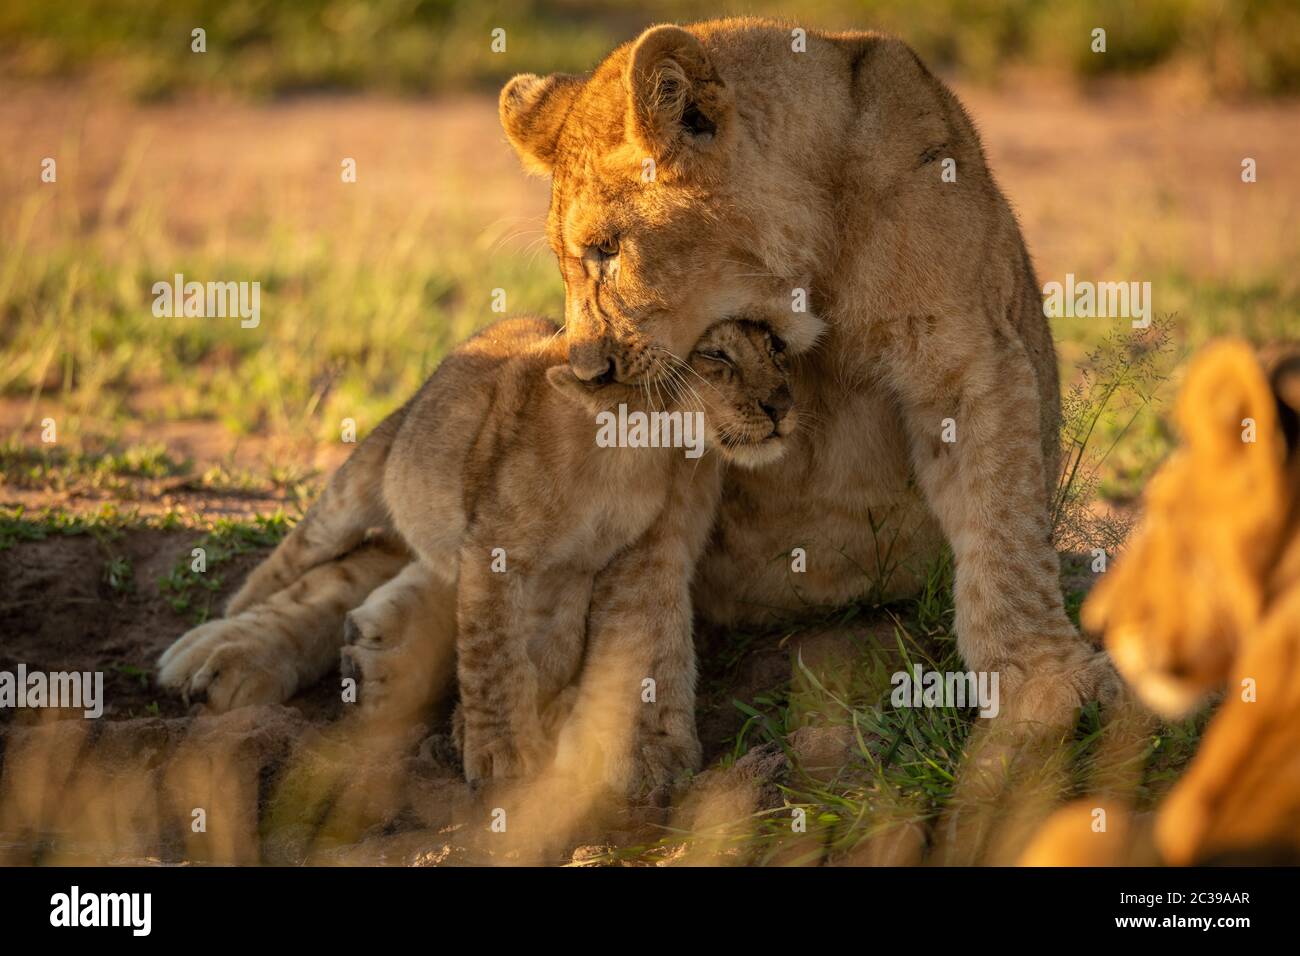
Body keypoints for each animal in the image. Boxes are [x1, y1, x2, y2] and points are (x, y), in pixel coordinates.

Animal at [497, 18, 1114, 726]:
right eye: (566, 263)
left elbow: (1004, 527)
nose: (589, 372)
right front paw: (639, 731)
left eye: (606, 251)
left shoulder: (973, 362)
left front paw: (1046, 682)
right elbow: (641, 586)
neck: (814, 275)